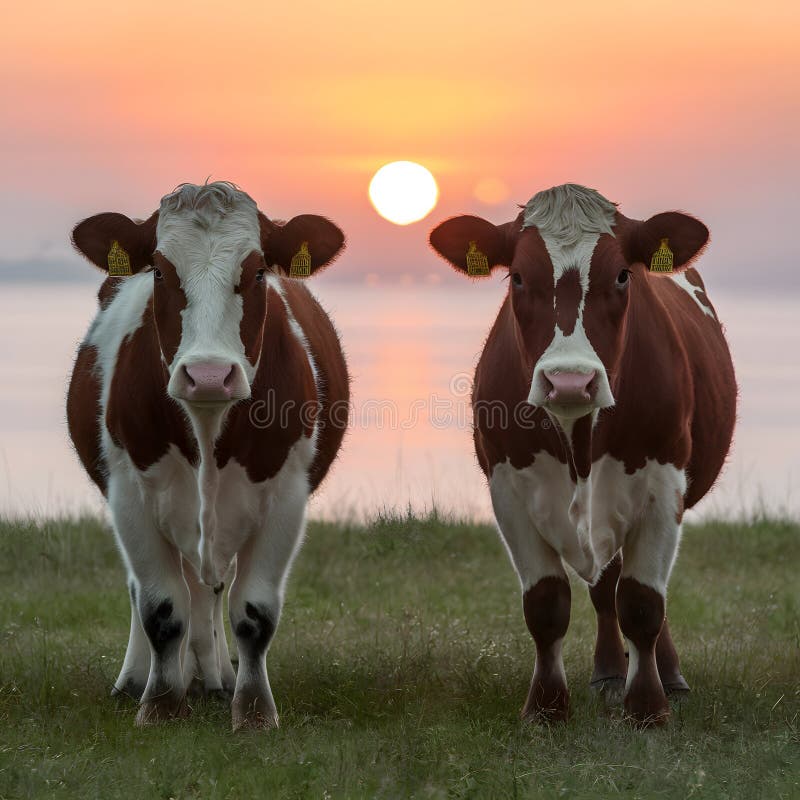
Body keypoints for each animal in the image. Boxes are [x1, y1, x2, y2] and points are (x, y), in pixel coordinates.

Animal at [67, 181, 349, 730]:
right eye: (159, 270)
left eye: (257, 270)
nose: (210, 375)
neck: (208, 427)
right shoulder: (129, 495)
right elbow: (160, 606)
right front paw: (159, 703)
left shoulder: (285, 497)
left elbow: (254, 611)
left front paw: (253, 710)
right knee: (161, 589)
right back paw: (146, 680)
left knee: (209, 589)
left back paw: (214, 678)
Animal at [429, 184, 736, 725]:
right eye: (517, 276)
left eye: (622, 274)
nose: (570, 381)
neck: (579, 445)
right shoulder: (507, 488)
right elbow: (547, 604)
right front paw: (546, 708)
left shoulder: (664, 485)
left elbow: (643, 602)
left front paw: (648, 707)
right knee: (604, 583)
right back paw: (611, 672)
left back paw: (668, 676)